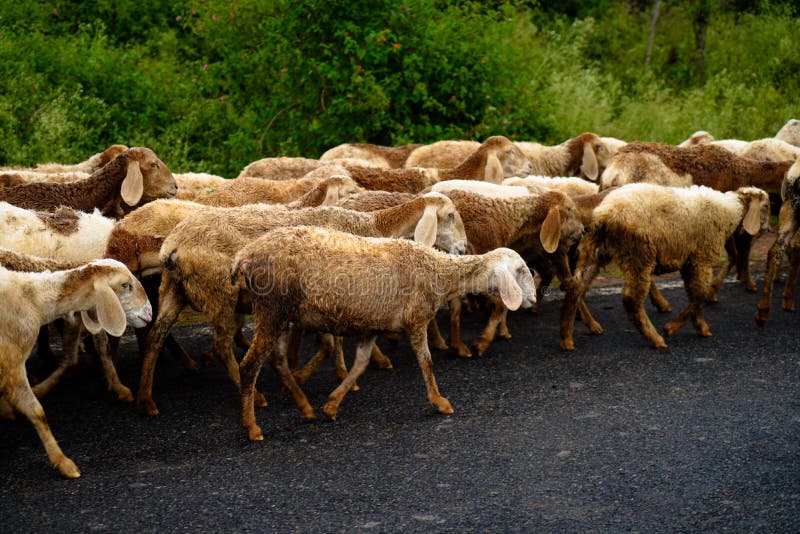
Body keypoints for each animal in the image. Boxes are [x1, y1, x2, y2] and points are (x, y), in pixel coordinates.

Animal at [0, 258, 151, 478]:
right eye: (125, 285)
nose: (150, 313)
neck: (34, 299)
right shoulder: (13, 362)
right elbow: (37, 411)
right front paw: (63, 463)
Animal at [136, 192, 468, 416]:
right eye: (451, 215)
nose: (464, 248)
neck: (372, 227)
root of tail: (172, 245)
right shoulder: (336, 293)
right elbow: (330, 342)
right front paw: (325, 378)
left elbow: (327, 340)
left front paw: (313, 376)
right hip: (219, 293)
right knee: (220, 345)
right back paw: (254, 395)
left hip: (173, 291)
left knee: (155, 338)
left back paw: (147, 399)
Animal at [232, 225, 536, 440]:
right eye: (521, 270)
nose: (533, 298)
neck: (437, 272)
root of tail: (244, 256)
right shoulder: (416, 319)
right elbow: (426, 362)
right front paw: (439, 402)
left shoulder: (371, 325)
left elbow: (361, 364)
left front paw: (332, 404)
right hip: (272, 309)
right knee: (249, 365)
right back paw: (252, 427)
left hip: (282, 315)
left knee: (278, 361)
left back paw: (305, 408)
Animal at [559, 184, 771, 350]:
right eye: (767, 206)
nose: (768, 230)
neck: (730, 211)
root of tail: (605, 214)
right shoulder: (701, 258)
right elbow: (701, 295)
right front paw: (671, 327)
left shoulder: (689, 262)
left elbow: (695, 295)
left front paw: (700, 327)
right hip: (638, 254)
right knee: (631, 300)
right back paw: (655, 338)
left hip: (596, 249)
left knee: (576, 287)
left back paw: (566, 338)